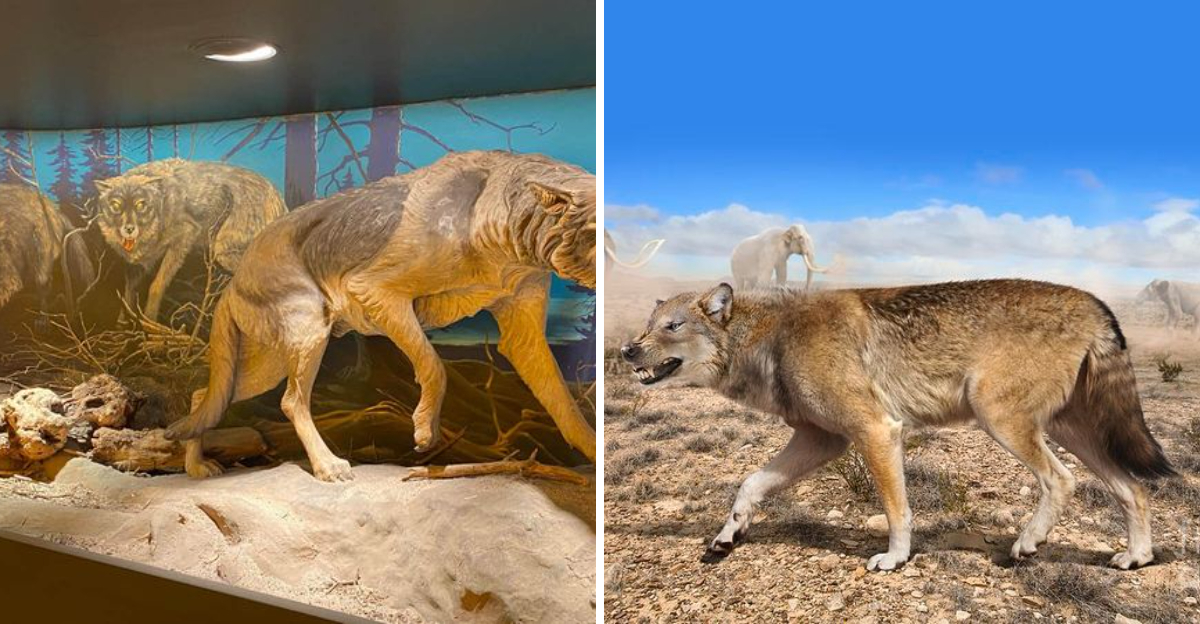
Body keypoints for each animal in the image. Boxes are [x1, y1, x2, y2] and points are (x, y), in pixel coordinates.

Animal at [95, 159, 286, 321]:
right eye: (115, 205)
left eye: (140, 205)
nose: (129, 229)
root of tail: (278, 196)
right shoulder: (137, 264)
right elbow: (128, 292)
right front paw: (122, 324)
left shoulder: (184, 237)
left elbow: (156, 285)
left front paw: (149, 324)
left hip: (224, 251)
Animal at [165, 151, 597, 481]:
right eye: (595, 231)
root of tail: (233, 282)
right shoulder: (376, 291)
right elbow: (433, 365)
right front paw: (423, 432)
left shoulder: (523, 334)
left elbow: (565, 404)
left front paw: (591, 455)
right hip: (309, 335)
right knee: (291, 401)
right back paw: (328, 467)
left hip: (270, 362)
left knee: (205, 394)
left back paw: (196, 469)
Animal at [621, 279, 1175, 571]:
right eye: (648, 327)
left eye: (672, 327)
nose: (626, 350)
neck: (773, 337)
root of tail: (1098, 302)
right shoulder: (822, 439)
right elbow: (751, 484)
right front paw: (726, 536)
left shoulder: (876, 431)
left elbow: (897, 510)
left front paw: (895, 559)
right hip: (1069, 433)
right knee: (1134, 490)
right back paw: (1136, 558)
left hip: (1002, 421)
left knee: (1062, 481)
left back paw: (1027, 544)